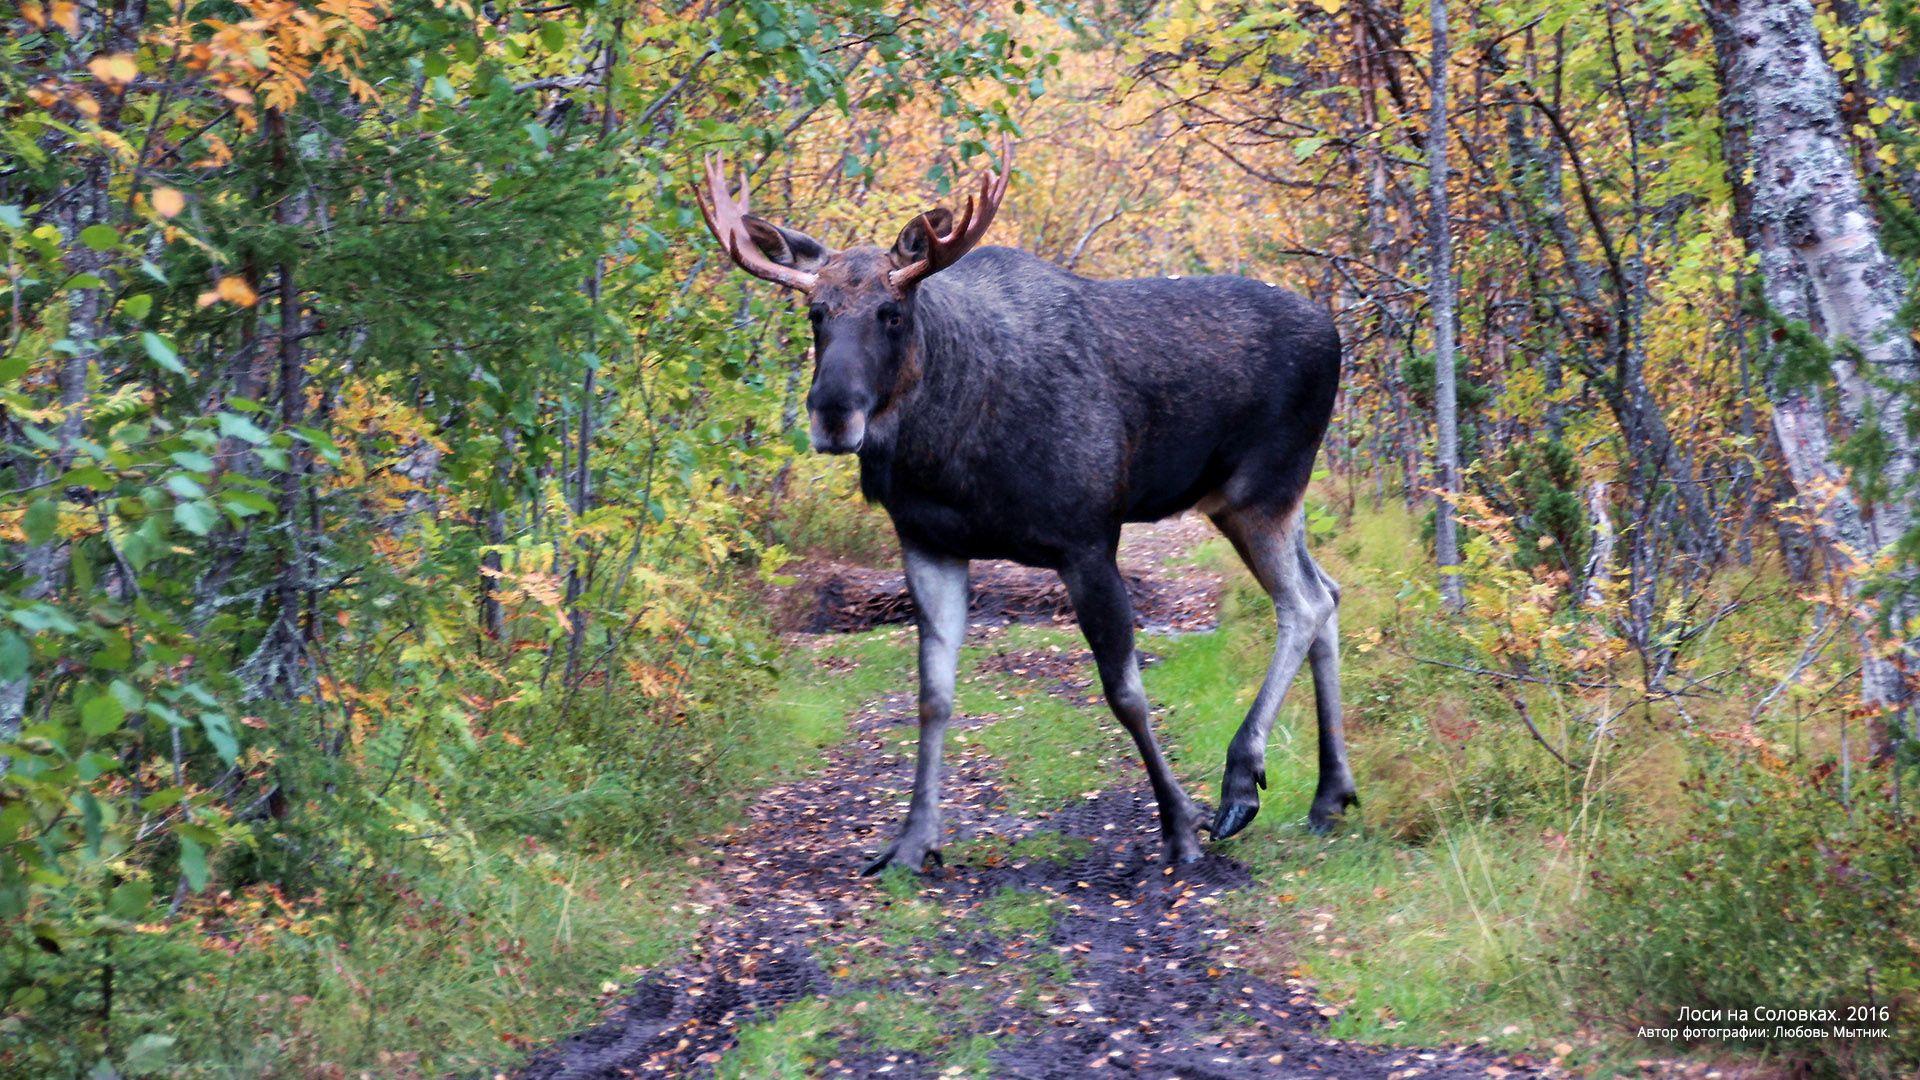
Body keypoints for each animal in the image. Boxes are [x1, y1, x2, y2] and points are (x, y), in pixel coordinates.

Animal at [694, 147, 1355, 874]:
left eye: (892, 313)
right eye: (816, 312)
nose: (833, 413)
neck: (948, 453)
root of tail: (1335, 334)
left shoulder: (1087, 540)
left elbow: (1125, 693)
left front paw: (1179, 828)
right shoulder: (928, 542)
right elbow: (933, 696)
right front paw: (912, 841)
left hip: (1261, 490)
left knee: (1304, 603)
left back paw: (1240, 784)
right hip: (1257, 503)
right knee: (1329, 590)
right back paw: (1329, 795)